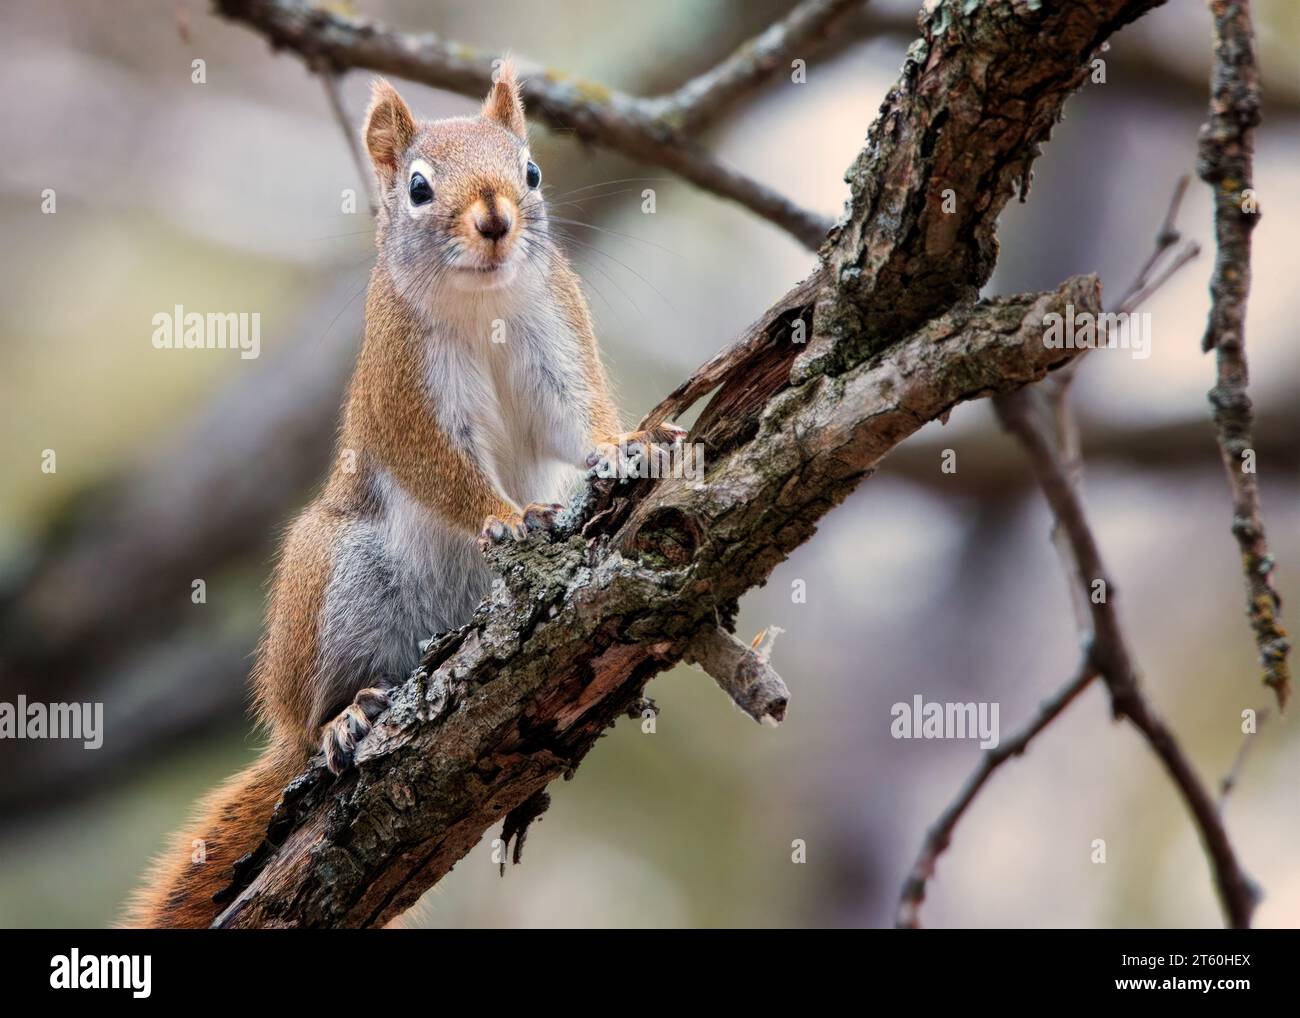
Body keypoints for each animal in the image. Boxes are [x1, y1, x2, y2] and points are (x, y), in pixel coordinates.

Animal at [124, 65, 681, 928]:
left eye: (531, 171)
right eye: (418, 187)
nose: (496, 220)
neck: (482, 305)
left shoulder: (556, 336)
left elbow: (573, 420)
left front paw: (624, 446)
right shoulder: (405, 393)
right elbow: (443, 471)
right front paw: (509, 518)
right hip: (332, 577)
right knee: (309, 722)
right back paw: (340, 720)